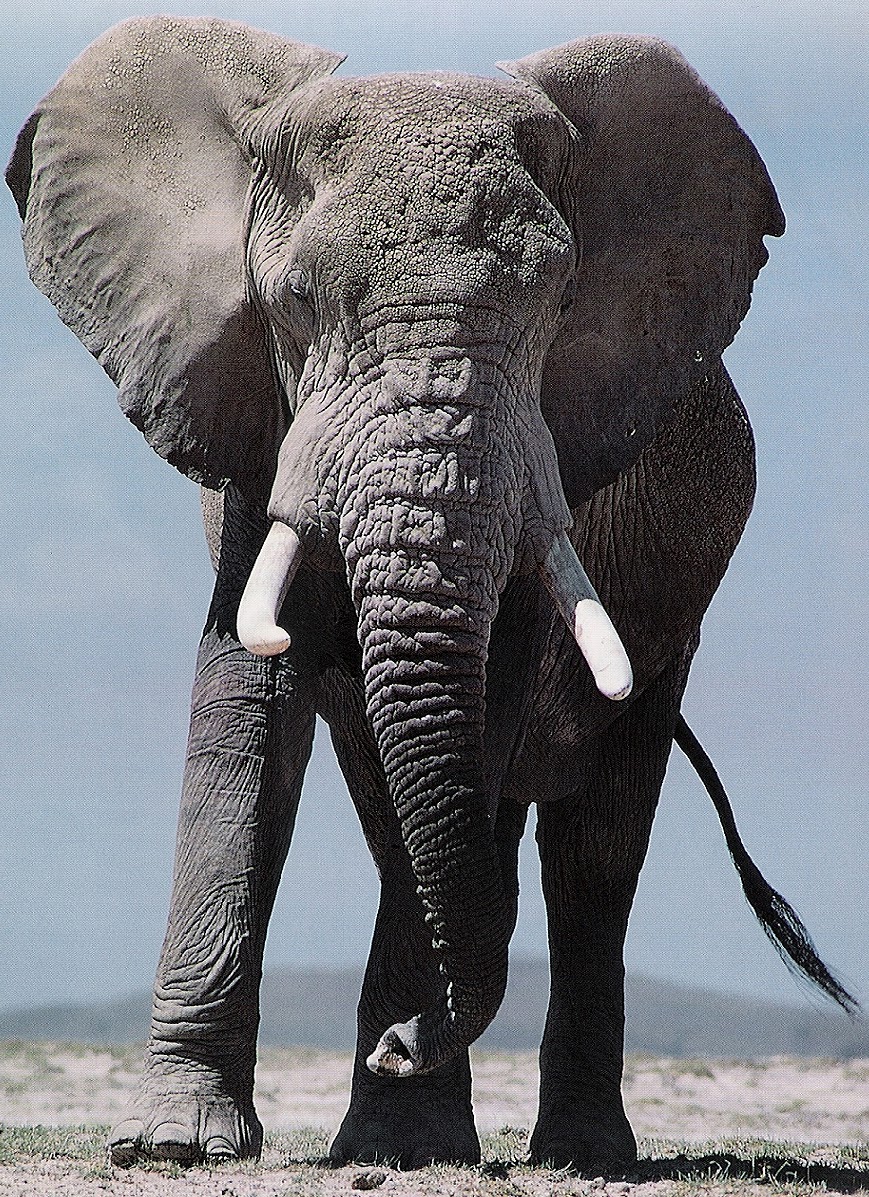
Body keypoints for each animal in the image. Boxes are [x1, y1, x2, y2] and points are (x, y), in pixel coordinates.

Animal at [8, 16, 857, 1174]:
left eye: (555, 304)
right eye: (295, 303)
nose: (399, 1045)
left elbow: (488, 694)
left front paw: (400, 1141)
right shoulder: (251, 418)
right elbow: (244, 706)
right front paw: (176, 1145)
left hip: (678, 603)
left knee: (590, 847)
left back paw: (579, 1153)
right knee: (411, 807)